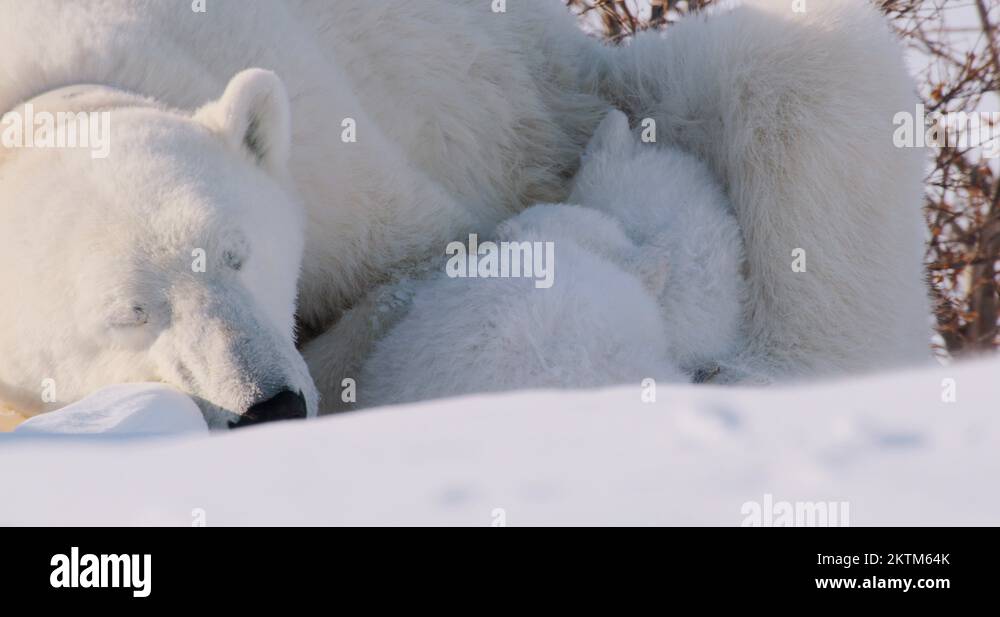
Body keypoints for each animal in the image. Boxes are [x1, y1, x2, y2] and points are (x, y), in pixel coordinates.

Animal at [0, 0, 930, 426]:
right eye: (130, 310)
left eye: (239, 253)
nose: (270, 405)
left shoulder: (326, 135)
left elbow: (414, 265)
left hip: (570, 90)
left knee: (798, 84)